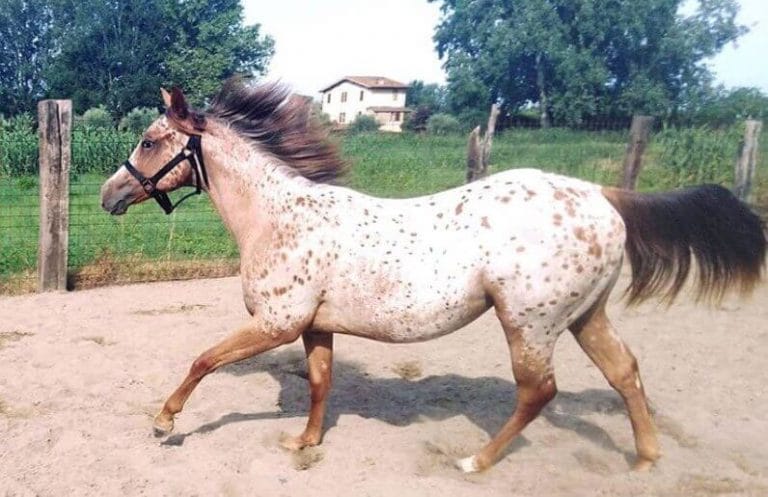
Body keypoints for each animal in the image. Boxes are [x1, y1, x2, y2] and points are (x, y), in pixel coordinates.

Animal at [100, 80, 766, 473]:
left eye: (151, 139)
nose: (109, 195)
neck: (280, 216)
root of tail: (602, 195)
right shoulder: (314, 326)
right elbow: (319, 383)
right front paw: (305, 444)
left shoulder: (276, 323)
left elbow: (203, 360)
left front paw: (165, 421)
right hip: (585, 317)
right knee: (624, 372)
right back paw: (646, 459)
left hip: (529, 324)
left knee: (538, 392)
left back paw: (476, 461)